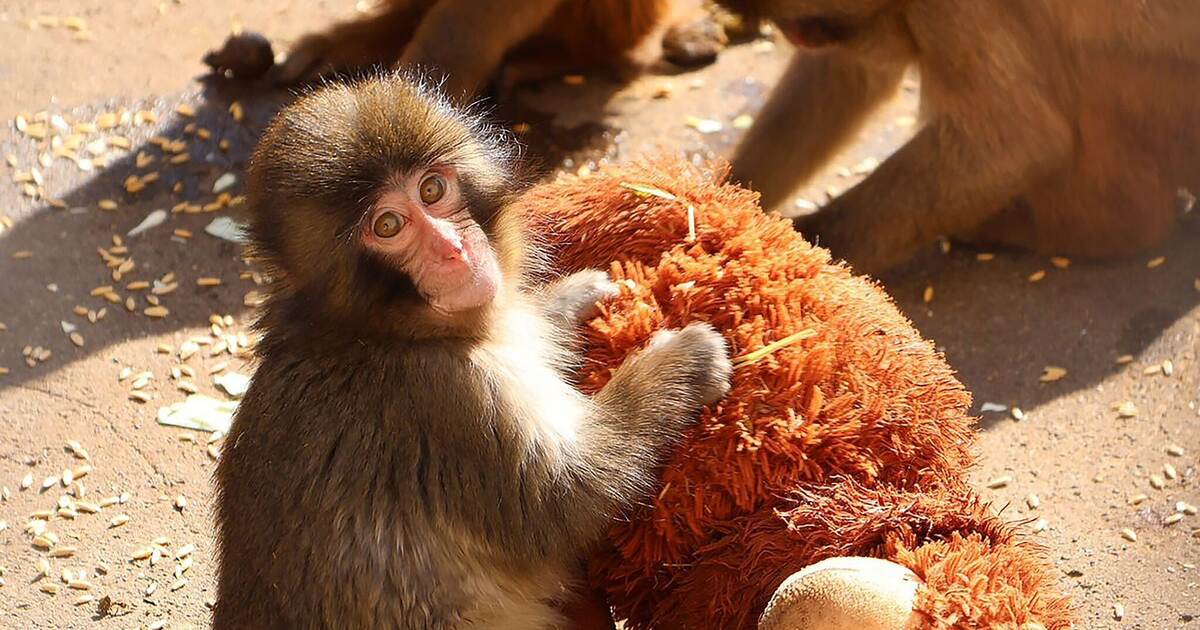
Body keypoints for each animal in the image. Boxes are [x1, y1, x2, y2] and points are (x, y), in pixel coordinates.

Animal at [211, 72, 733, 629]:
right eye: (388, 226)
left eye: (432, 190)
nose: (454, 250)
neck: (377, 333)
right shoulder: (447, 397)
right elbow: (566, 499)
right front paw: (681, 363)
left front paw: (572, 300)